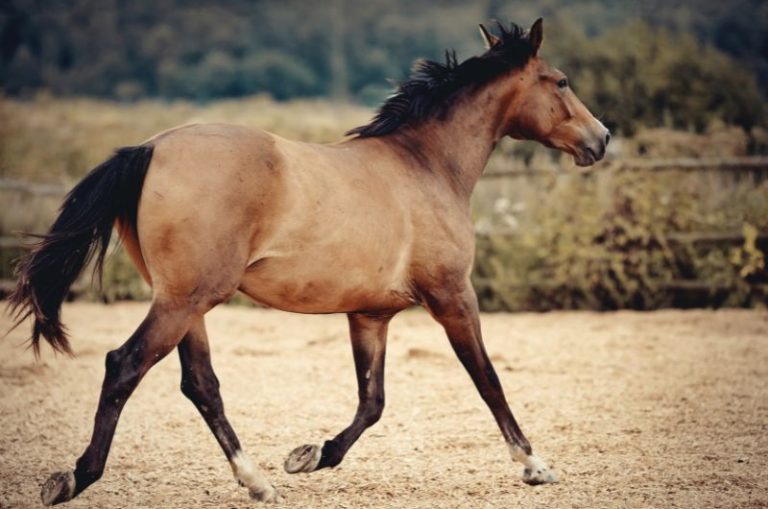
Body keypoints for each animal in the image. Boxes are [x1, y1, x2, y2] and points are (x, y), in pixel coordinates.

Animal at [8, 18, 609, 505]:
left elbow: (372, 400)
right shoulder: (452, 296)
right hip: (184, 300)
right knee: (125, 365)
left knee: (201, 384)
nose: (602, 140)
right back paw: (73, 479)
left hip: (185, 301)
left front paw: (310, 455)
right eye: (560, 81)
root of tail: (152, 147)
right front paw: (534, 465)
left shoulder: (370, 315)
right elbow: (487, 379)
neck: (426, 165)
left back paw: (257, 482)